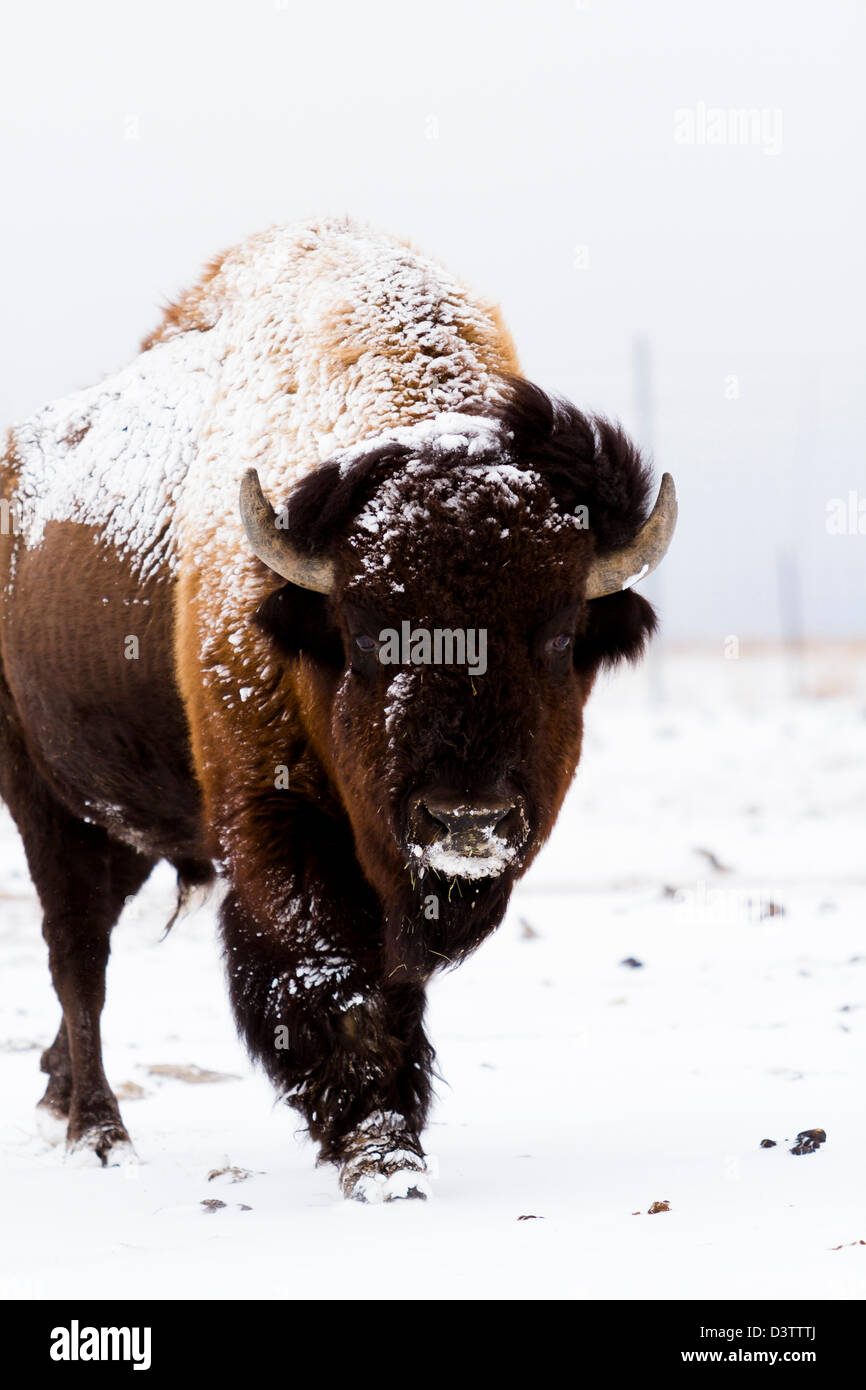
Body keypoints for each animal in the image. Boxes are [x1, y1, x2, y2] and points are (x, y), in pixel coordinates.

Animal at [0, 219, 676, 1199]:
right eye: (363, 633)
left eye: (558, 635)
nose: (466, 819)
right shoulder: (279, 822)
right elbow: (333, 973)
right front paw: (381, 1157)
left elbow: (394, 980)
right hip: (49, 803)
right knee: (78, 957)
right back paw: (98, 1131)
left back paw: (61, 1101)